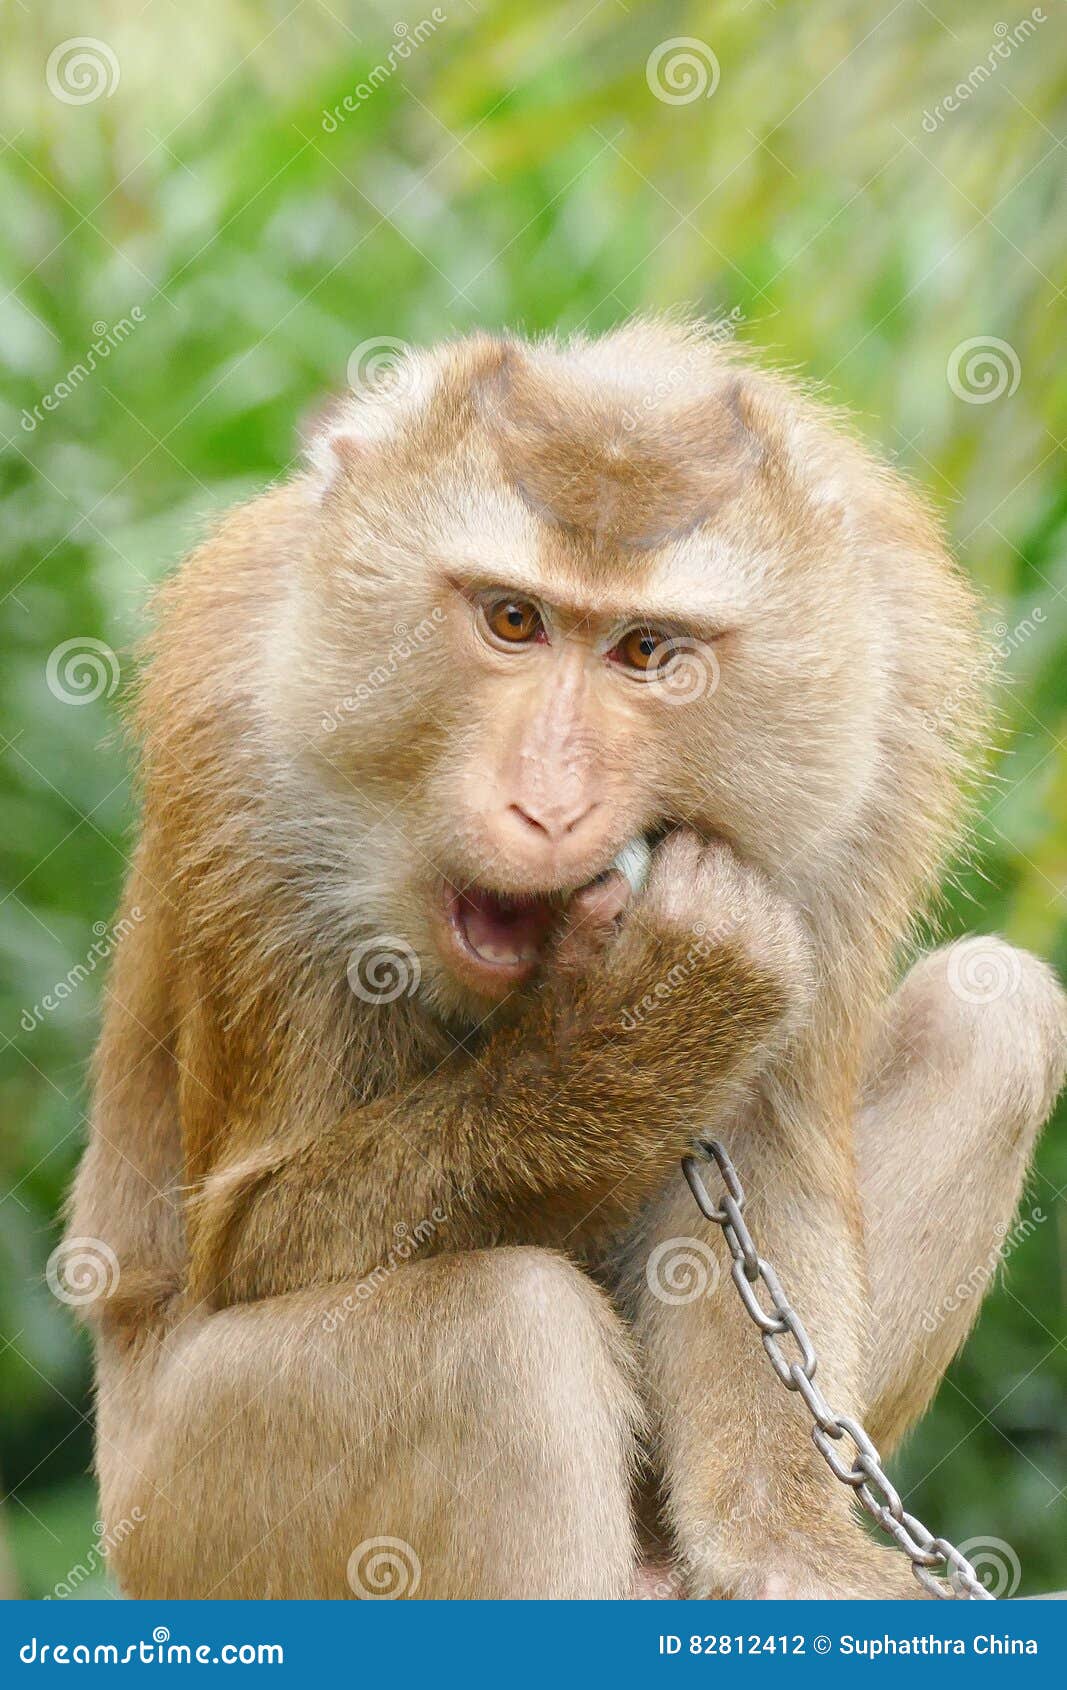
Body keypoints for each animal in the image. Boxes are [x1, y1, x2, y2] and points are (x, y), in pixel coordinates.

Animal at [65, 319, 1067, 1601]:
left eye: (645, 650)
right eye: (511, 620)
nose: (543, 805)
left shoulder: (875, 730)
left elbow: (766, 1170)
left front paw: (783, 1543)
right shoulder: (235, 733)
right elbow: (249, 1234)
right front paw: (642, 1025)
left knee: (994, 1009)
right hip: (181, 1519)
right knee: (503, 1335)